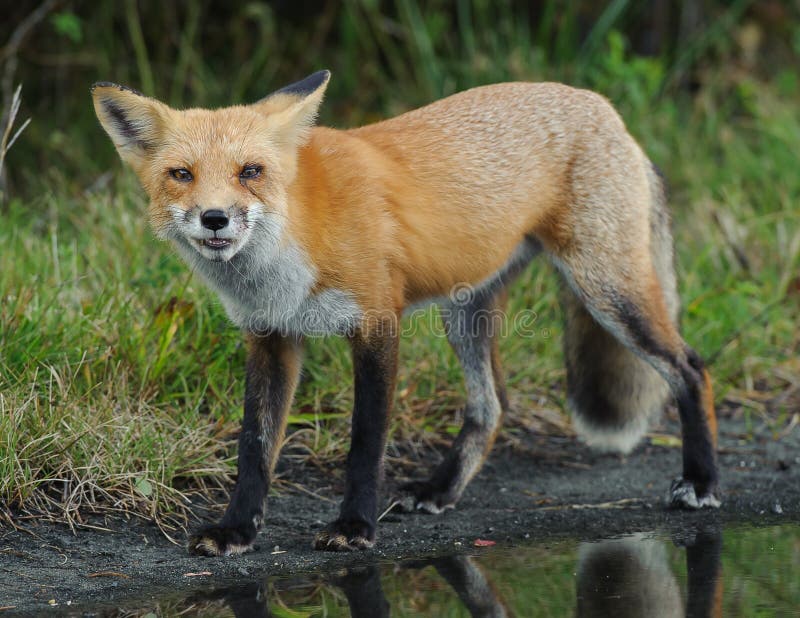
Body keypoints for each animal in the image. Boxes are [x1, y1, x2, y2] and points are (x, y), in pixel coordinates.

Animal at [91, 70, 720, 556]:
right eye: (182, 174)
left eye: (250, 171)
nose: (215, 218)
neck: (293, 245)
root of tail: (606, 110)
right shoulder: (270, 337)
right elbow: (255, 447)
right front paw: (237, 530)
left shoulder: (377, 323)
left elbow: (365, 441)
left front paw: (354, 526)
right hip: (467, 312)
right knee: (492, 405)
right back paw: (441, 491)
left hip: (607, 289)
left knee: (691, 367)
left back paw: (700, 480)